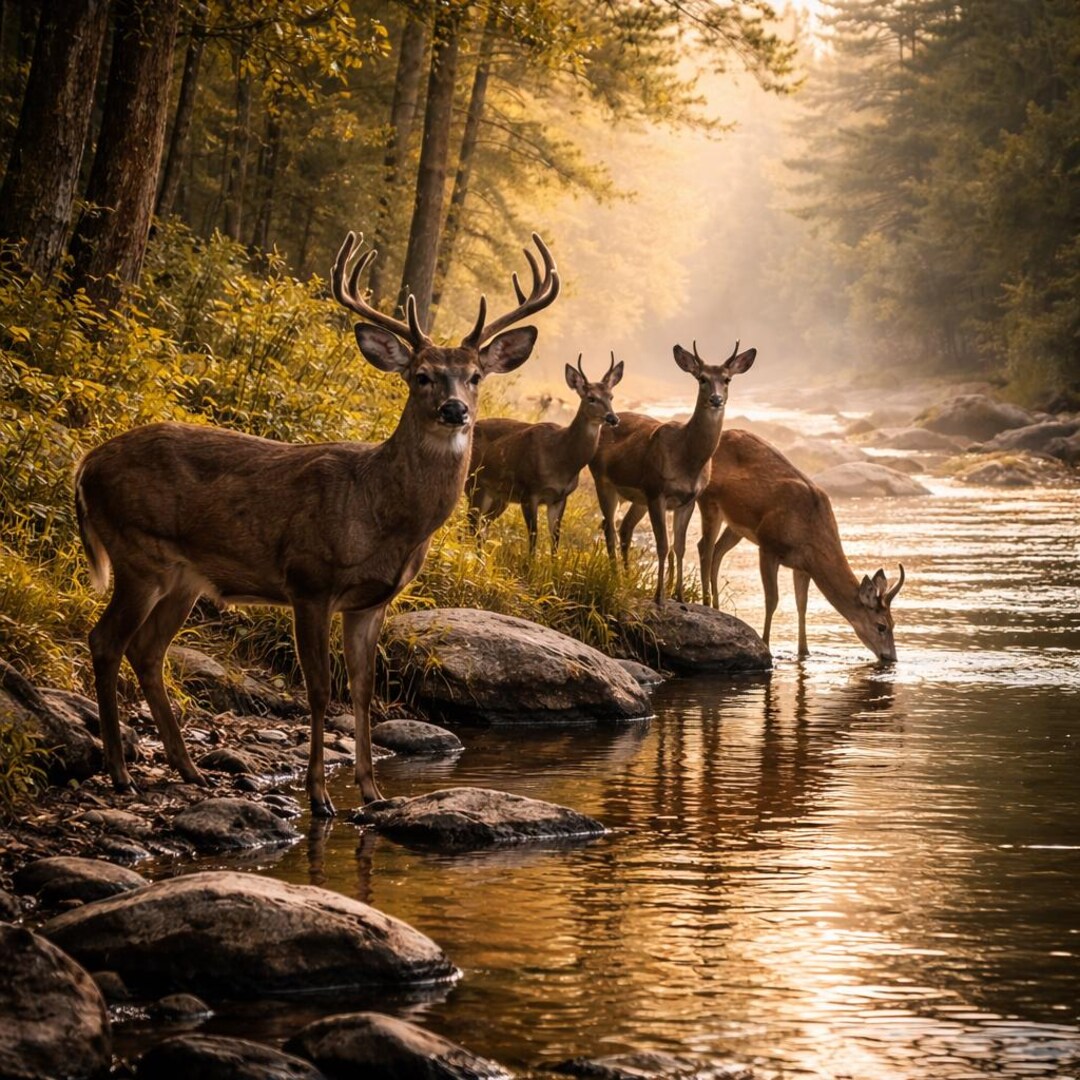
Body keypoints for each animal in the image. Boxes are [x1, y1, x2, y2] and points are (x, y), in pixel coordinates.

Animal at [74, 230, 559, 816]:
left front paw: (372, 791)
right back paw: (122, 773)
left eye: (475, 377)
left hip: (184, 577)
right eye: (421, 376)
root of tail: (86, 464)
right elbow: (321, 689)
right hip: (137, 554)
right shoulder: (308, 582)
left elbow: (362, 689)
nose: (454, 409)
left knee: (147, 651)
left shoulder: (371, 601)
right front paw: (320, 795)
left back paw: (188, 769)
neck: (381, 512)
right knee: (105, 640)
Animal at [467, 353, 623, 554]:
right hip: (475, 483)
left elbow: (555, 541)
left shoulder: (559, 498)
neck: (560, 458)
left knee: (481, 526)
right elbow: (533, 538)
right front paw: (529, 563)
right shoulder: (529, 491)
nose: (613, 418)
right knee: (471, 524)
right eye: (591, 398)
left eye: (611, 396)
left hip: (499, 497)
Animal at [588, 340, 756, 604]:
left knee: (624, 527)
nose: (716, 399)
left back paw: (626, 577)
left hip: (638, 498)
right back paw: (616, 579)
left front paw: (680, 597)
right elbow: (663, 545)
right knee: (609, 527)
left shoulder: (688, 499)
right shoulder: (657, 491)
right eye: (702, 378)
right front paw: (660, 597)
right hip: (603, 480)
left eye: (727, 379)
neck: (686, 457)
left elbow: (680, 546)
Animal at [696, 429, 905, 662]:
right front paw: (766, 644)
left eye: (894, 623)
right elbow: (772, 599)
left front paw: (804, 651)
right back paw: (706, 604)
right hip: (708, 499)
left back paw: (717, 608)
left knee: (717, 551)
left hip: (736, 525)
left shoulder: (803, 566)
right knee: (704, 548)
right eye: (881, 626)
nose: (891, 657)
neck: (809, 529)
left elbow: (801, 605)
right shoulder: (768, 546)